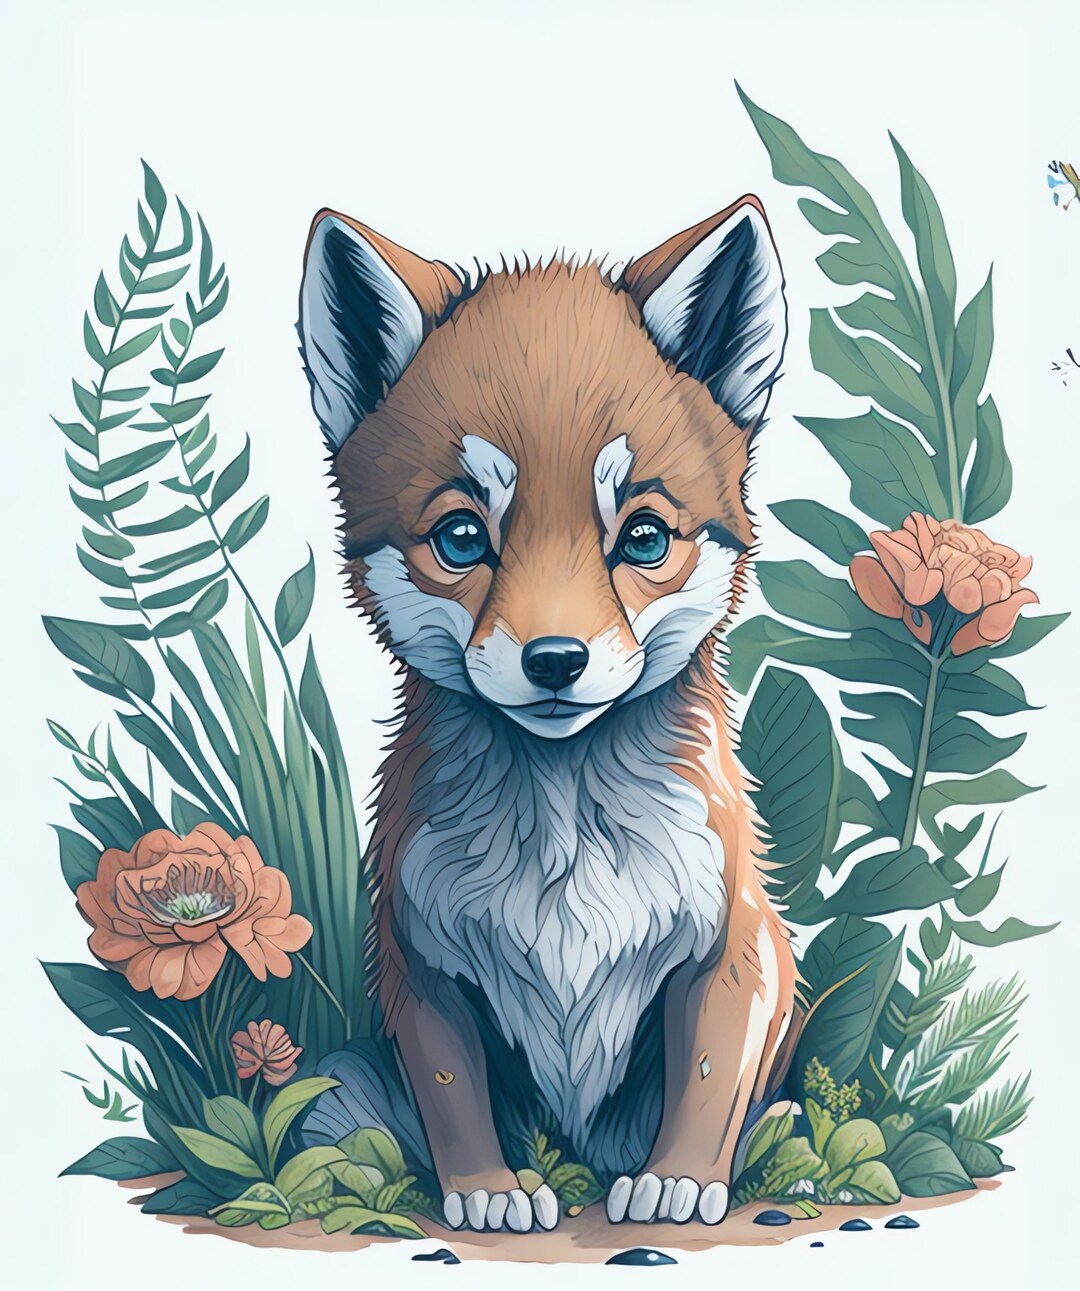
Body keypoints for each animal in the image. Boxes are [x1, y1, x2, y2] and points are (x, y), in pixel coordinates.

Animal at [298, 197, 799, 1233]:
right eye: (461, 537)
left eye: (642, 537)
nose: (557, 660)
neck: (567, 838)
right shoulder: (420, 964)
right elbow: (452, 1091)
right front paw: (487, 1190)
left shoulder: (736, 943)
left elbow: (707, 1071)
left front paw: (679, 1179)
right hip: (338, 1082)